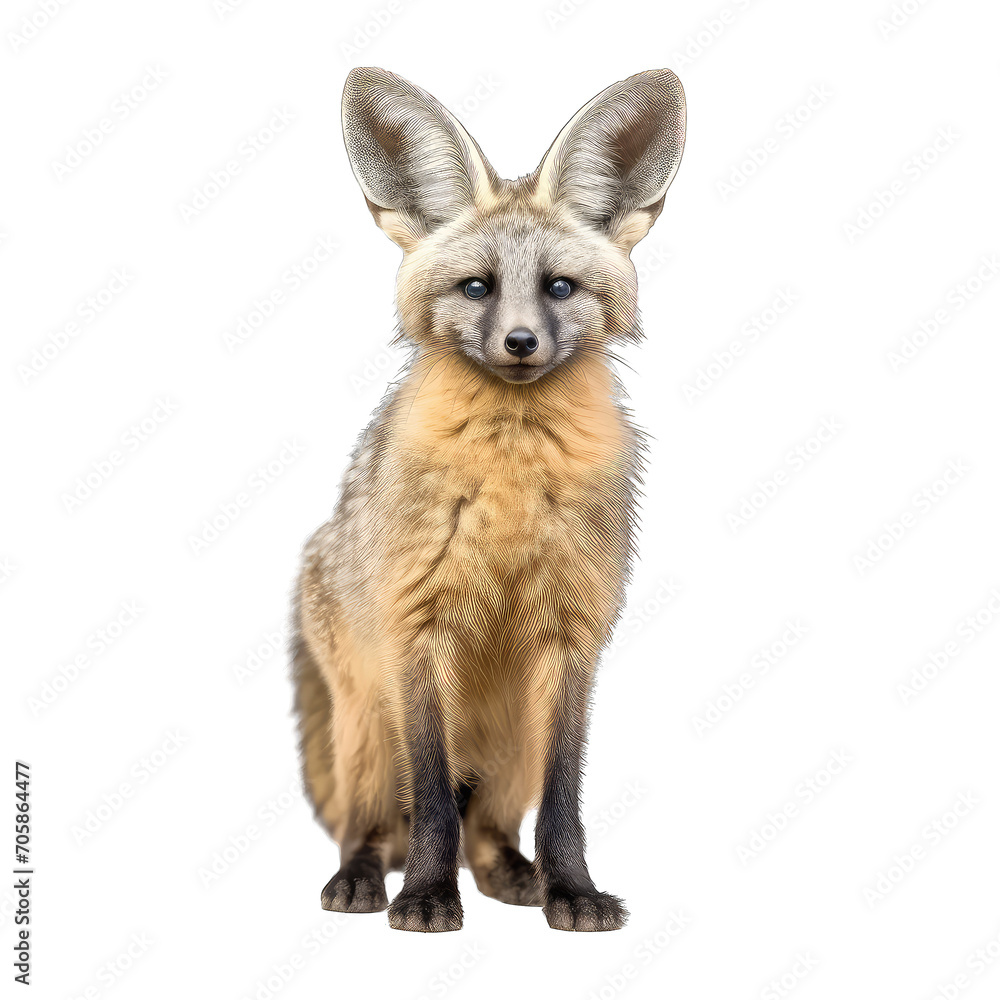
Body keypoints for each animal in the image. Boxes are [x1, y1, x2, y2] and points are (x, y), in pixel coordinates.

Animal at [292, 66, 685, 932]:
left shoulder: (572, 640)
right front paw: (425, 898)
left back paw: (517, 877)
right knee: (373, 820)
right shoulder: (415, 632)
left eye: (559, 288)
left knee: (492, 829)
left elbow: (565, 802)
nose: (520, 344)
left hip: (510, 742)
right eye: (477, 288)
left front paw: (572, 890)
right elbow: (433, 800)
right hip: (367, 726)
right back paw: (364, 879)